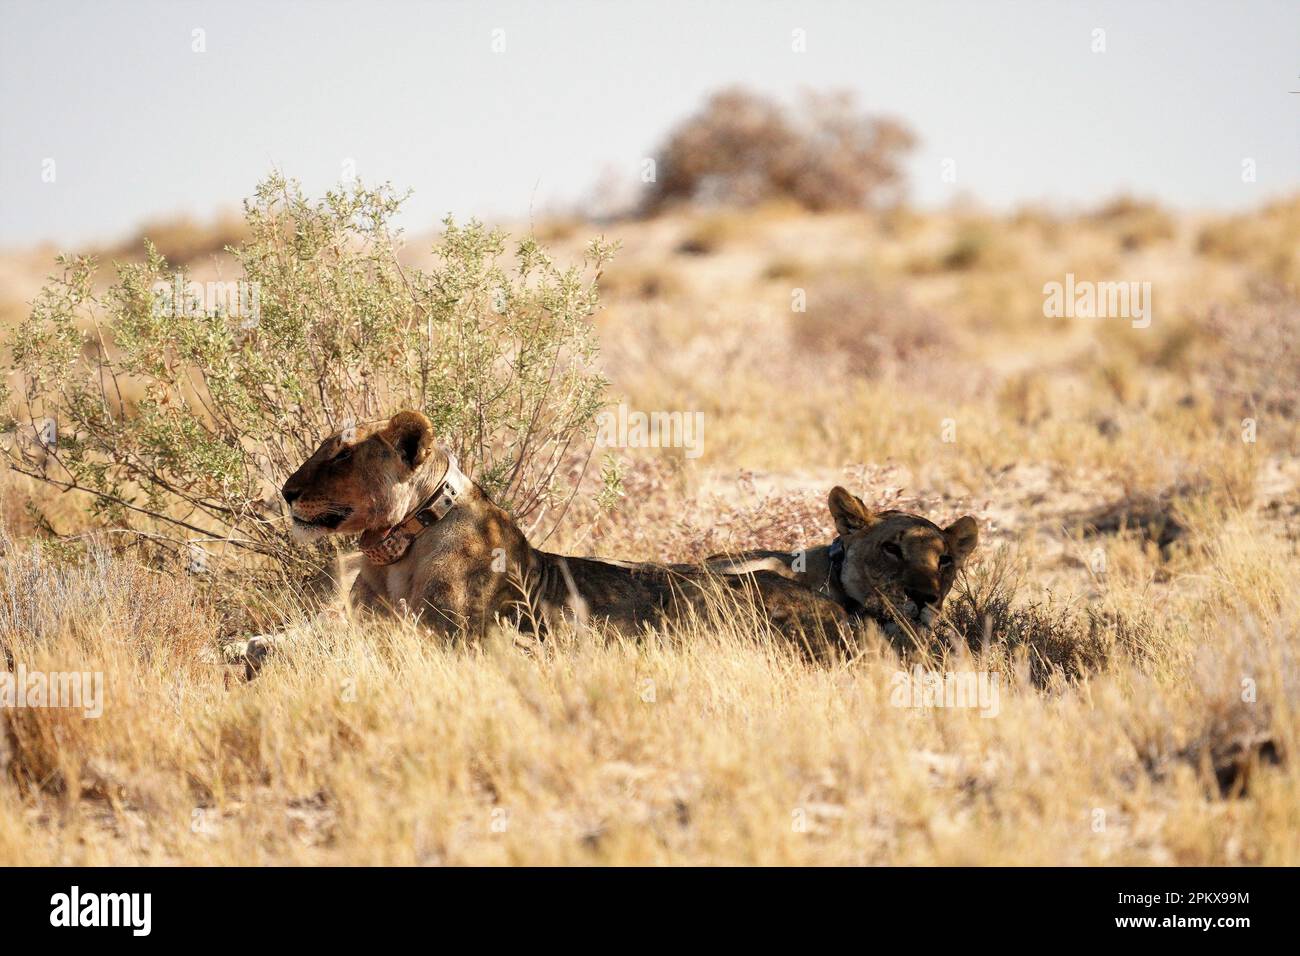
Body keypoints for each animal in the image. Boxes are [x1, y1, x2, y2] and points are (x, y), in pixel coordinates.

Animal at [225, 410, 849, 665]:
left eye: (342, 456)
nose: (285, 491)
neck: (396, 549)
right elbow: (303, 631)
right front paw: (243, 645)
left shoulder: (460, 638)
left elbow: (358, 643)